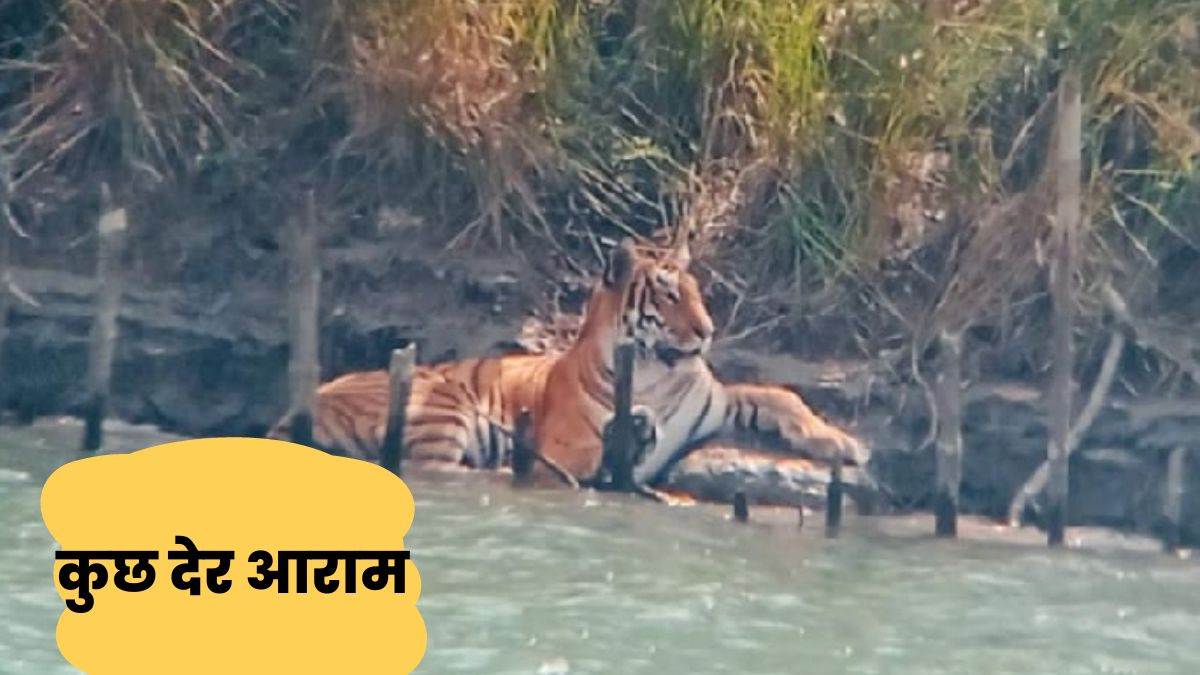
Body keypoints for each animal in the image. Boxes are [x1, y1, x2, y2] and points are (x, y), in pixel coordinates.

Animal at [270, 239, 868, 486]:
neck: (659, 375)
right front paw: (633, 438)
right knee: (429, 469)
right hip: (440, 407)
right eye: (670, 294)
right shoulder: (563, 442)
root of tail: (291, 411)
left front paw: (845, 444)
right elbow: (582, 456)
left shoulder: (719, 398)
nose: (708, 331)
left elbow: (783, 396)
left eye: (698, 292)